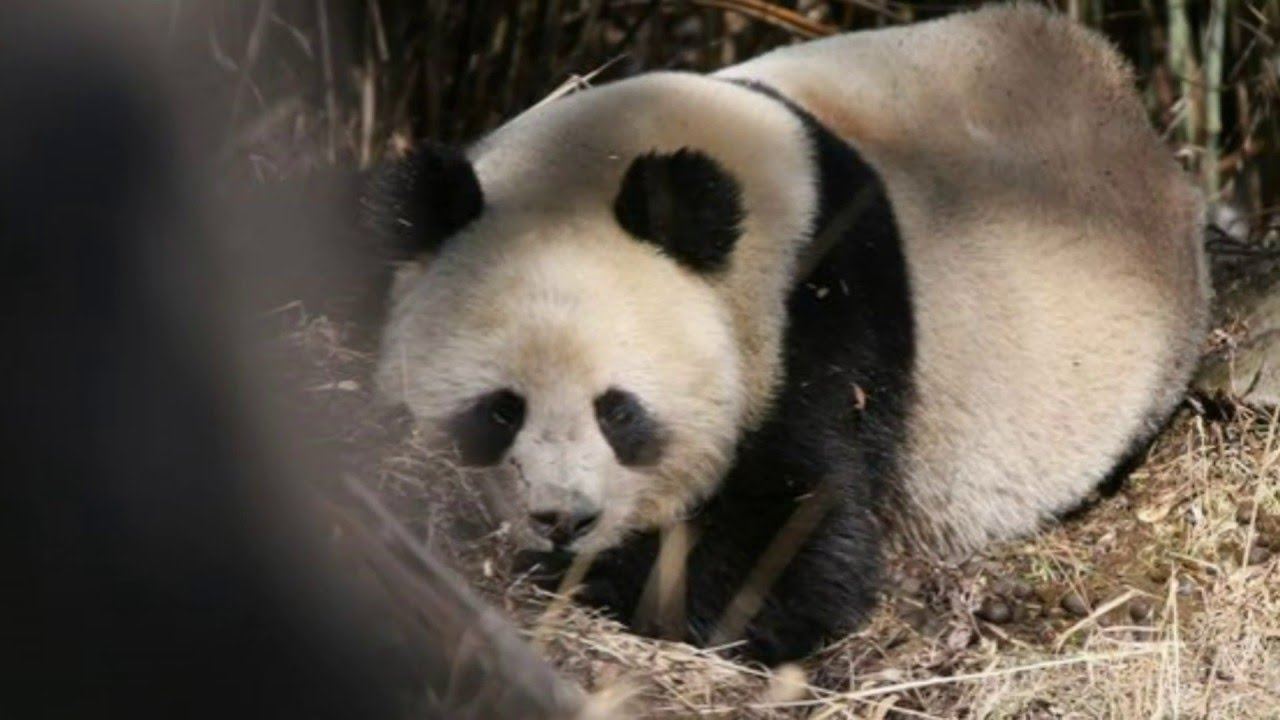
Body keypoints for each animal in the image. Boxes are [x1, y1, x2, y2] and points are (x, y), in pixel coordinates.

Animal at [369, 4, 1209, 664]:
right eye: (498, 410)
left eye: (621, 413)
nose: (562, 520)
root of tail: (1126, 98)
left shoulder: (818, 315)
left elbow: (788, 554)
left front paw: (601, 571)